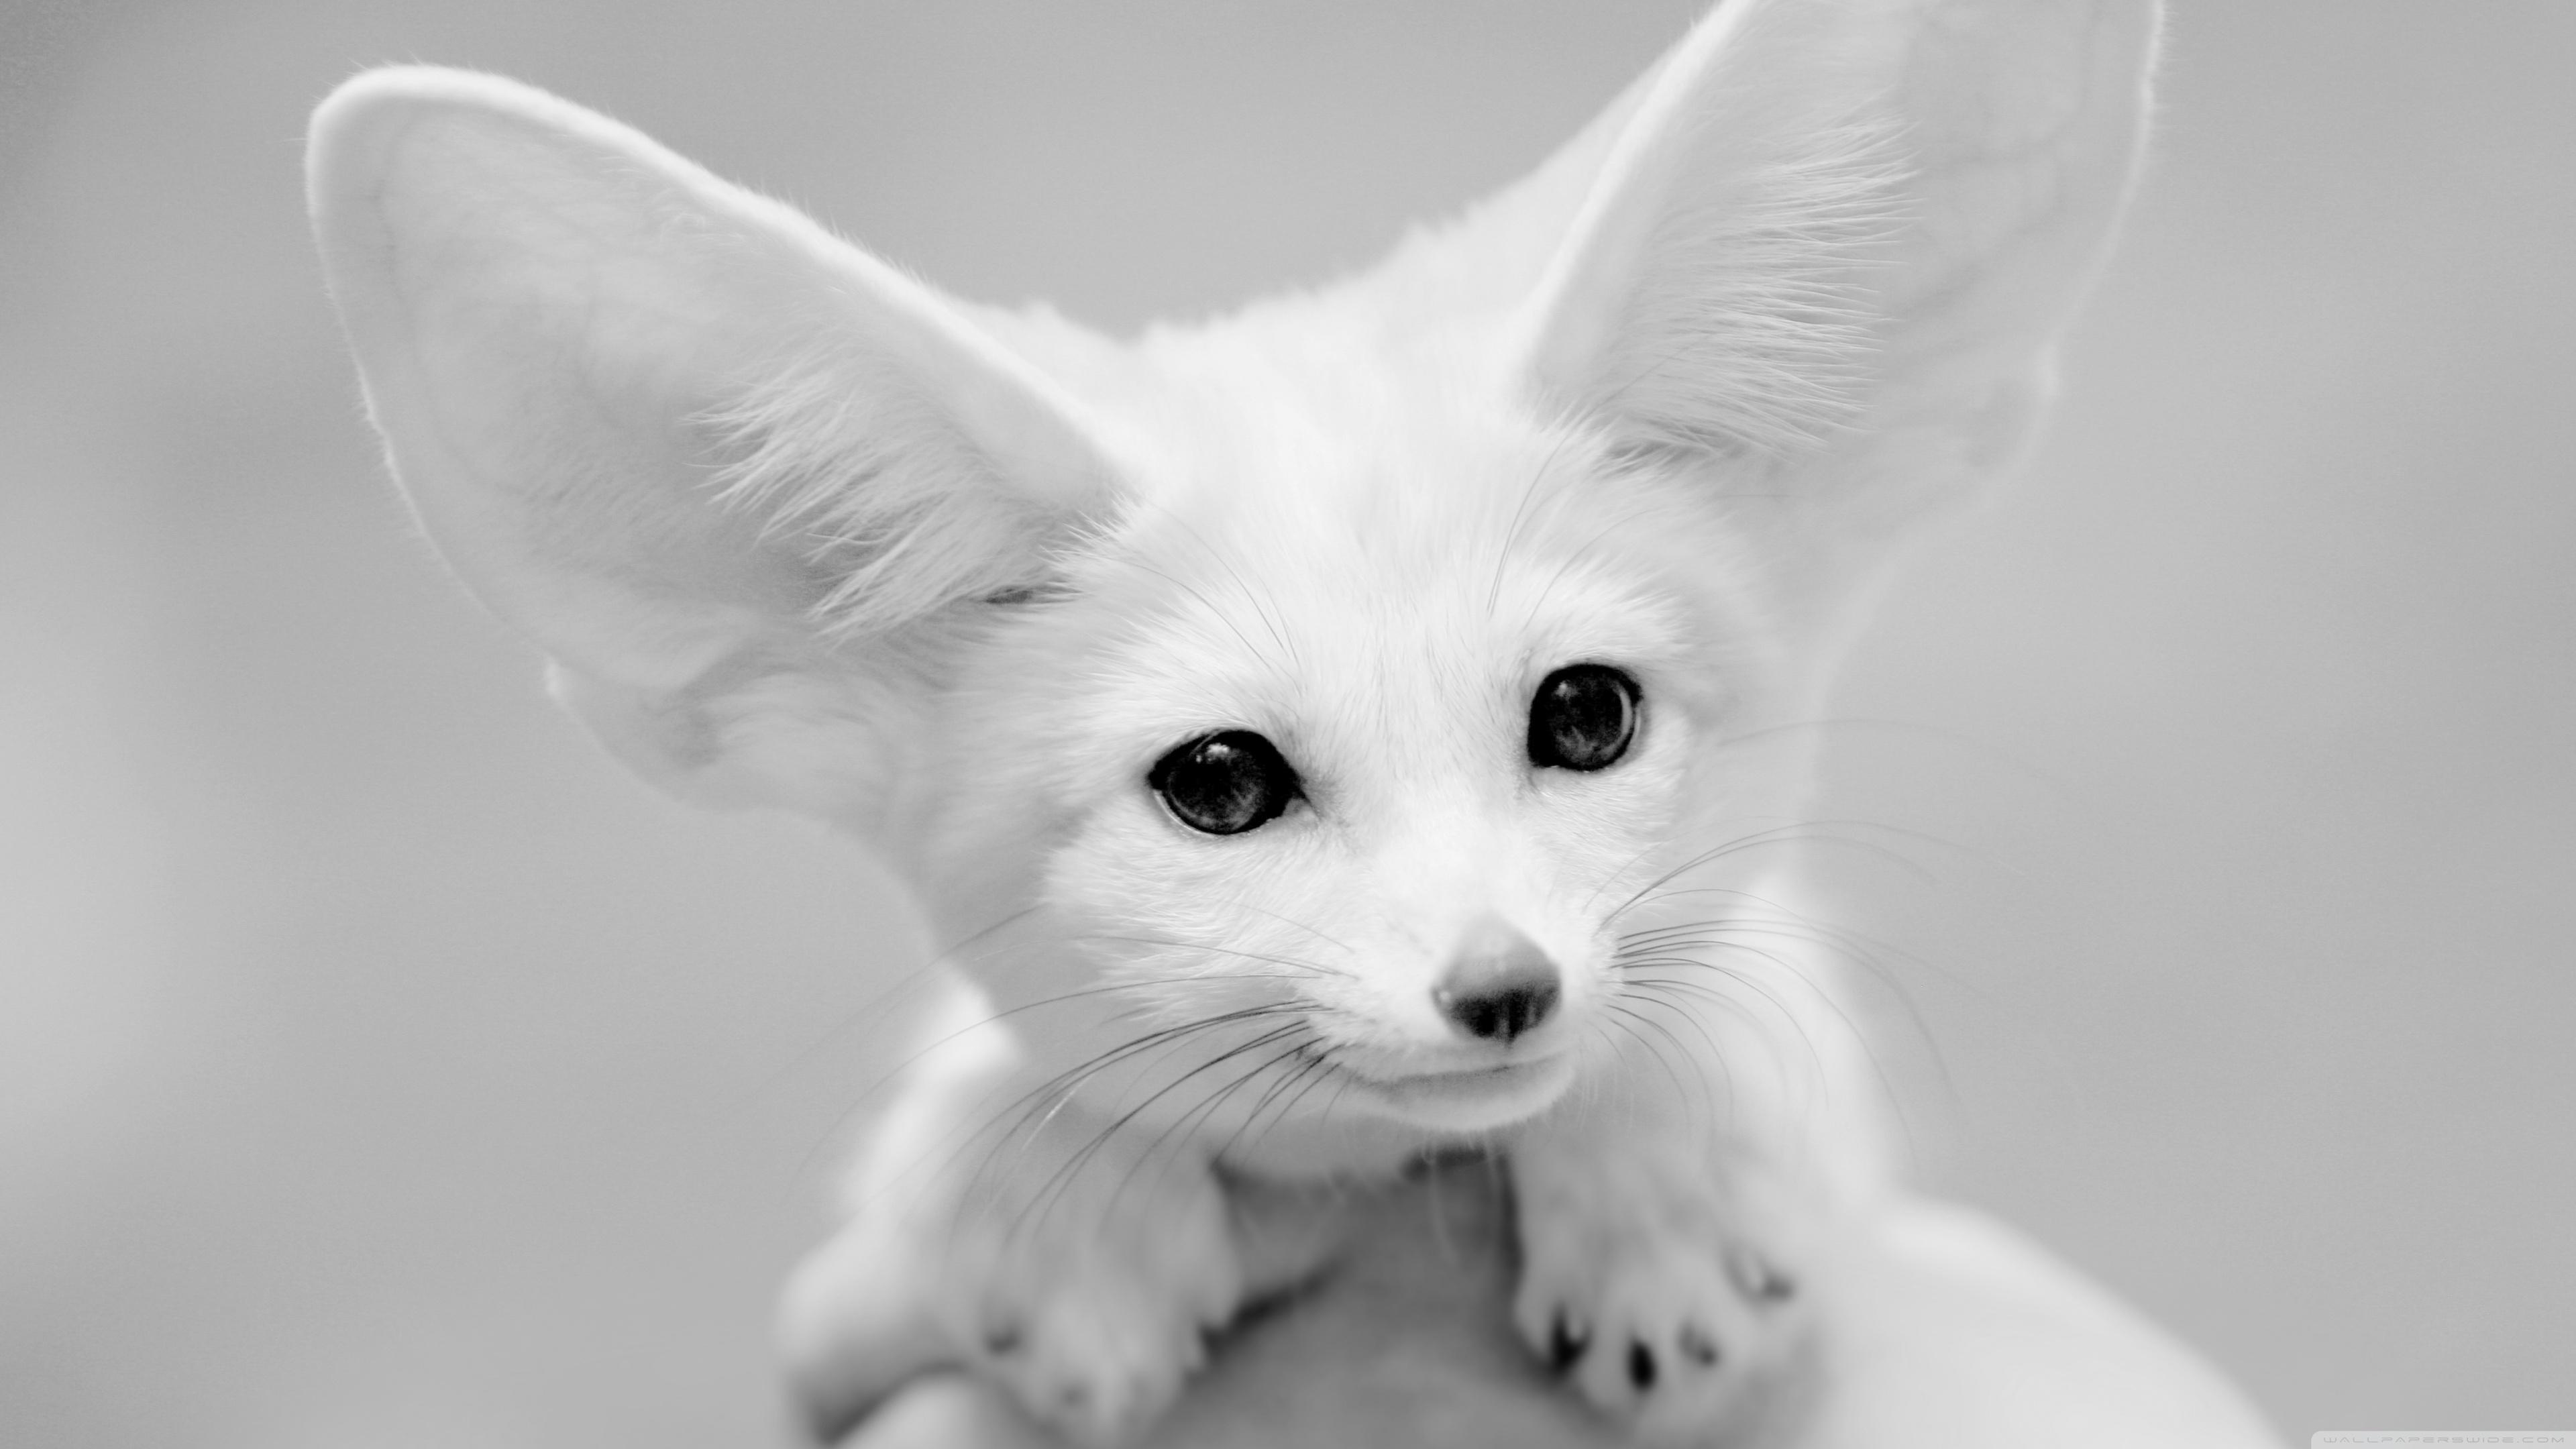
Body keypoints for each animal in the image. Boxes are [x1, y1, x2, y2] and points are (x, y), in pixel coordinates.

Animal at [307, 0, 2175, 1444]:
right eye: (1219, 781)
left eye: (1585, 713)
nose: (1503, 989)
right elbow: (1002, 1086)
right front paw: (1060, 1202)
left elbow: (1717, 989)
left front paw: (1667, 1182)